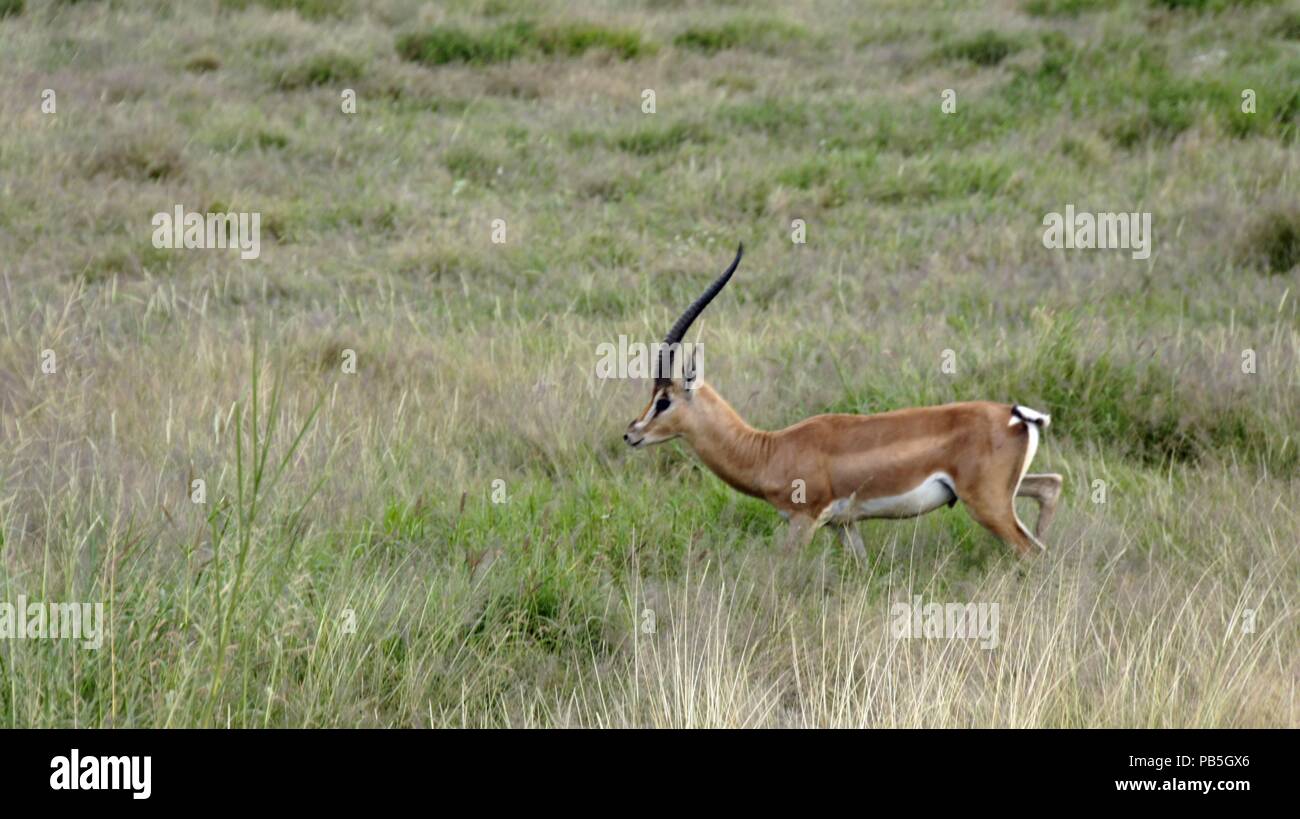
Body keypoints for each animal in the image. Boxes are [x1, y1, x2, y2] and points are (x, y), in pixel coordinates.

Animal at [624, 244, 1063, 559]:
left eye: (663, 399)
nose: (631, 433)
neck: (770, 449)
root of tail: (1016, 415)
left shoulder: (804, 521)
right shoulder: (844, 526)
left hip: (987, 504)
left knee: (1032, 551)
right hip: (1004, 493)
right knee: (1050, 488)